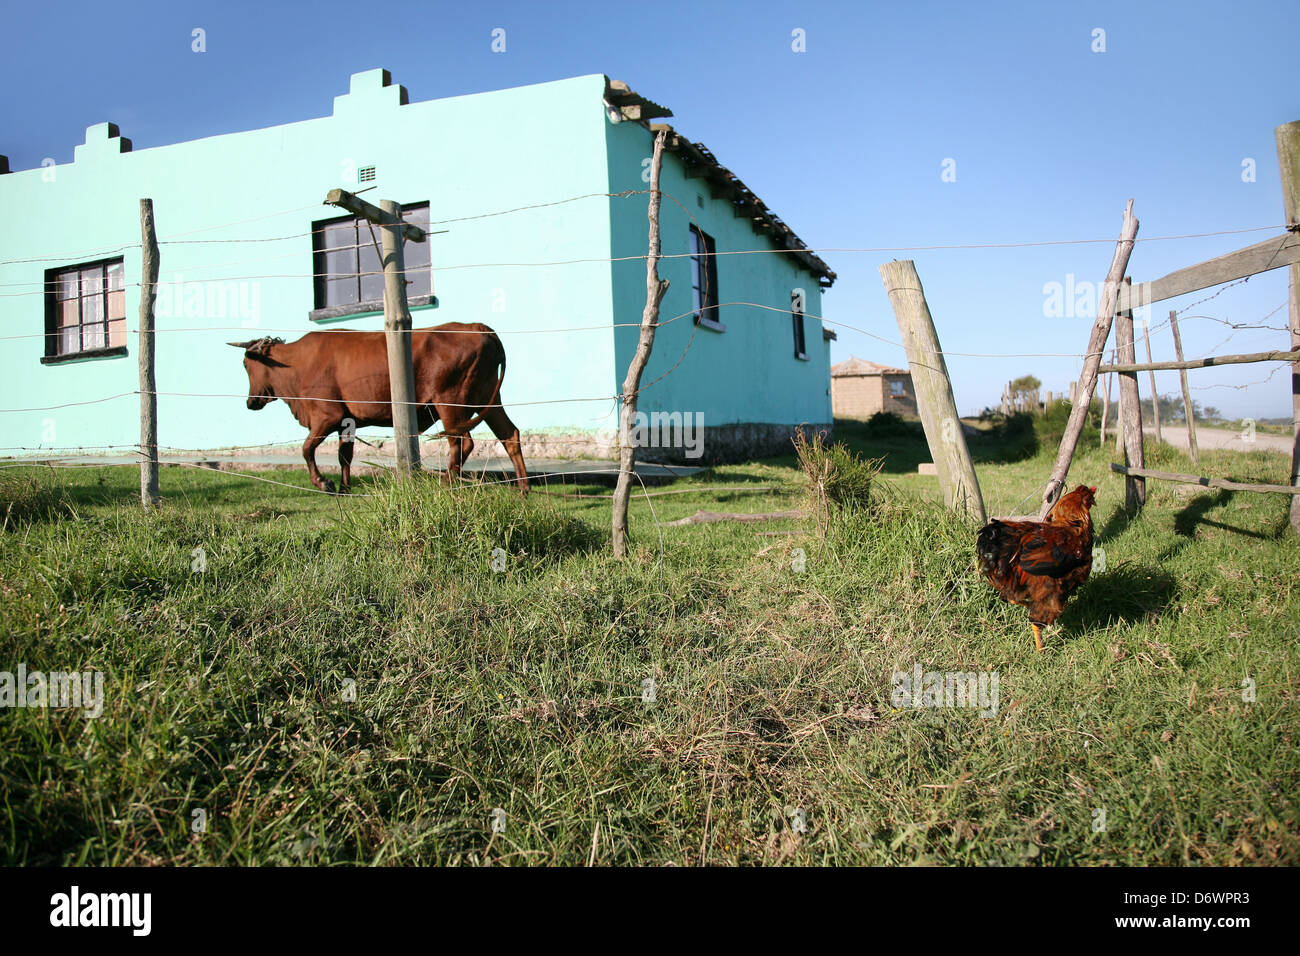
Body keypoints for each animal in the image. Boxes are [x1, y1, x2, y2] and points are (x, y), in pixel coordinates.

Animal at [228, 322, 529, 494]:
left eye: (246, 364)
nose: (250, 402)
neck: (297, 363)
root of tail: (478, 328)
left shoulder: (326, 416)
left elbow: (306, 449)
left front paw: (324, 483)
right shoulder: (346, 421)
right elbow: (344, 456)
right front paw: (345, 487)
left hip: (451, 403)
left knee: (462, 442)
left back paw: (446, 482)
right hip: (487, 398)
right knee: (509, 435)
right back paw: (523, 488)